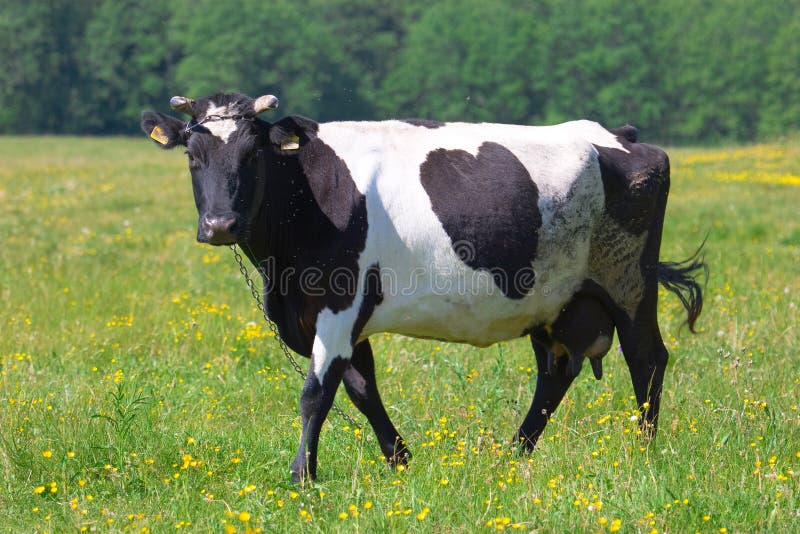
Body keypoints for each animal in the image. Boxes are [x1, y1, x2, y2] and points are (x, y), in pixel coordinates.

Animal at [141, 92, 706, 483]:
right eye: (192, 156)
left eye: (253, 155)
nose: (220, 225)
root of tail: (618, 134)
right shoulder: (337, 315)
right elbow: (361, 388)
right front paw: (400, 459)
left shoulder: (340, 303)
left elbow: (316, 392)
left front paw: (303, 475)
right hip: (556, 302)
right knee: (555, 372)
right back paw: (512, 454)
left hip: (628, 283)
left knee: (647, 359)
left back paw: (643, 453)